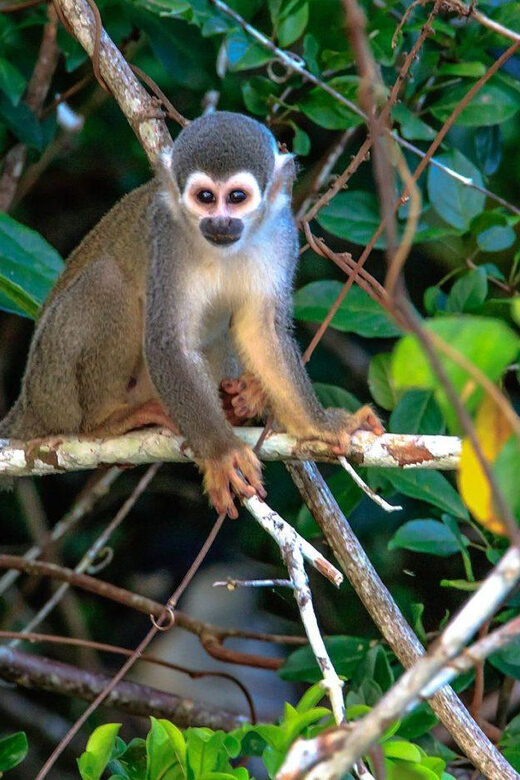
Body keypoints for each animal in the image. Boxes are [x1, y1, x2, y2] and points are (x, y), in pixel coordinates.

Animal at [0, 111, 382, 517]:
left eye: (236, 197)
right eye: (205, 198)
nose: (220, 223)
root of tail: (26, 403)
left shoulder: (281, 234)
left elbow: (262, 330)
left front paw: (321, 425)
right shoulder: (167, 236)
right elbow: (167, 340)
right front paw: (221, 452)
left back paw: (240, 401)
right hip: (51, 382)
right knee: (108, 282)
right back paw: (103, 421)